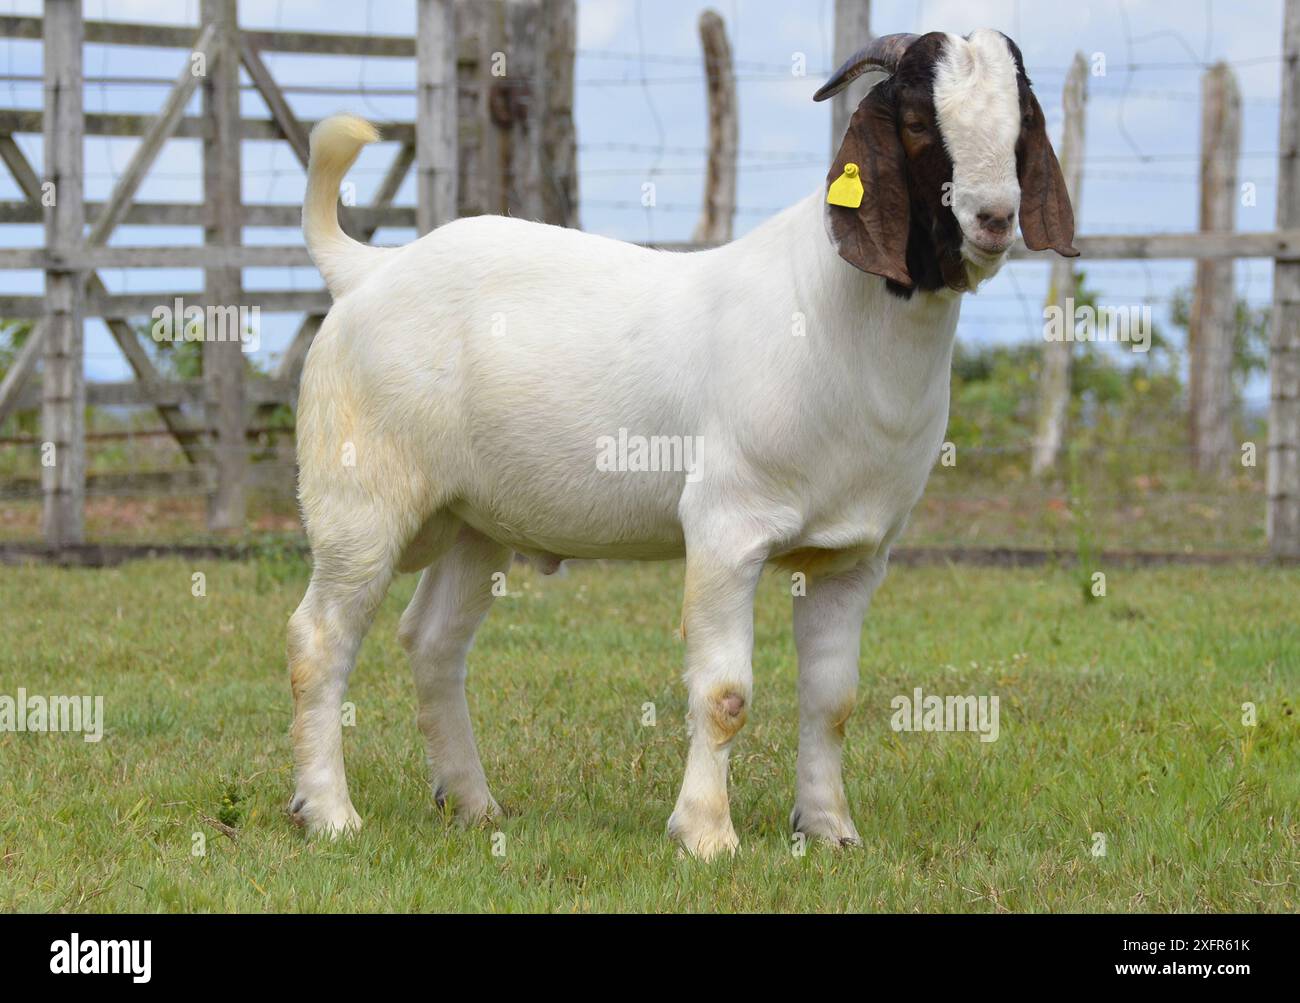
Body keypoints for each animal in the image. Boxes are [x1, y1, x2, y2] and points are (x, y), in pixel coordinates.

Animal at [286, 29, 1077, 859]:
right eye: (920, 120)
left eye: (1024, 117)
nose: (994, 217)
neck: (835, 318)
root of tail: (364, 270)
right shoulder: (727, 526)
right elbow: (725, 693)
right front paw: (706, 833)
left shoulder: (854, 557)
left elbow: (834, 699)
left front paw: (829, 829)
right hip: (360, 499)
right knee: (320, 638)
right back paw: (328, 812)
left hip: (478, 523)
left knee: (433, 642)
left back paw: (473, 803)